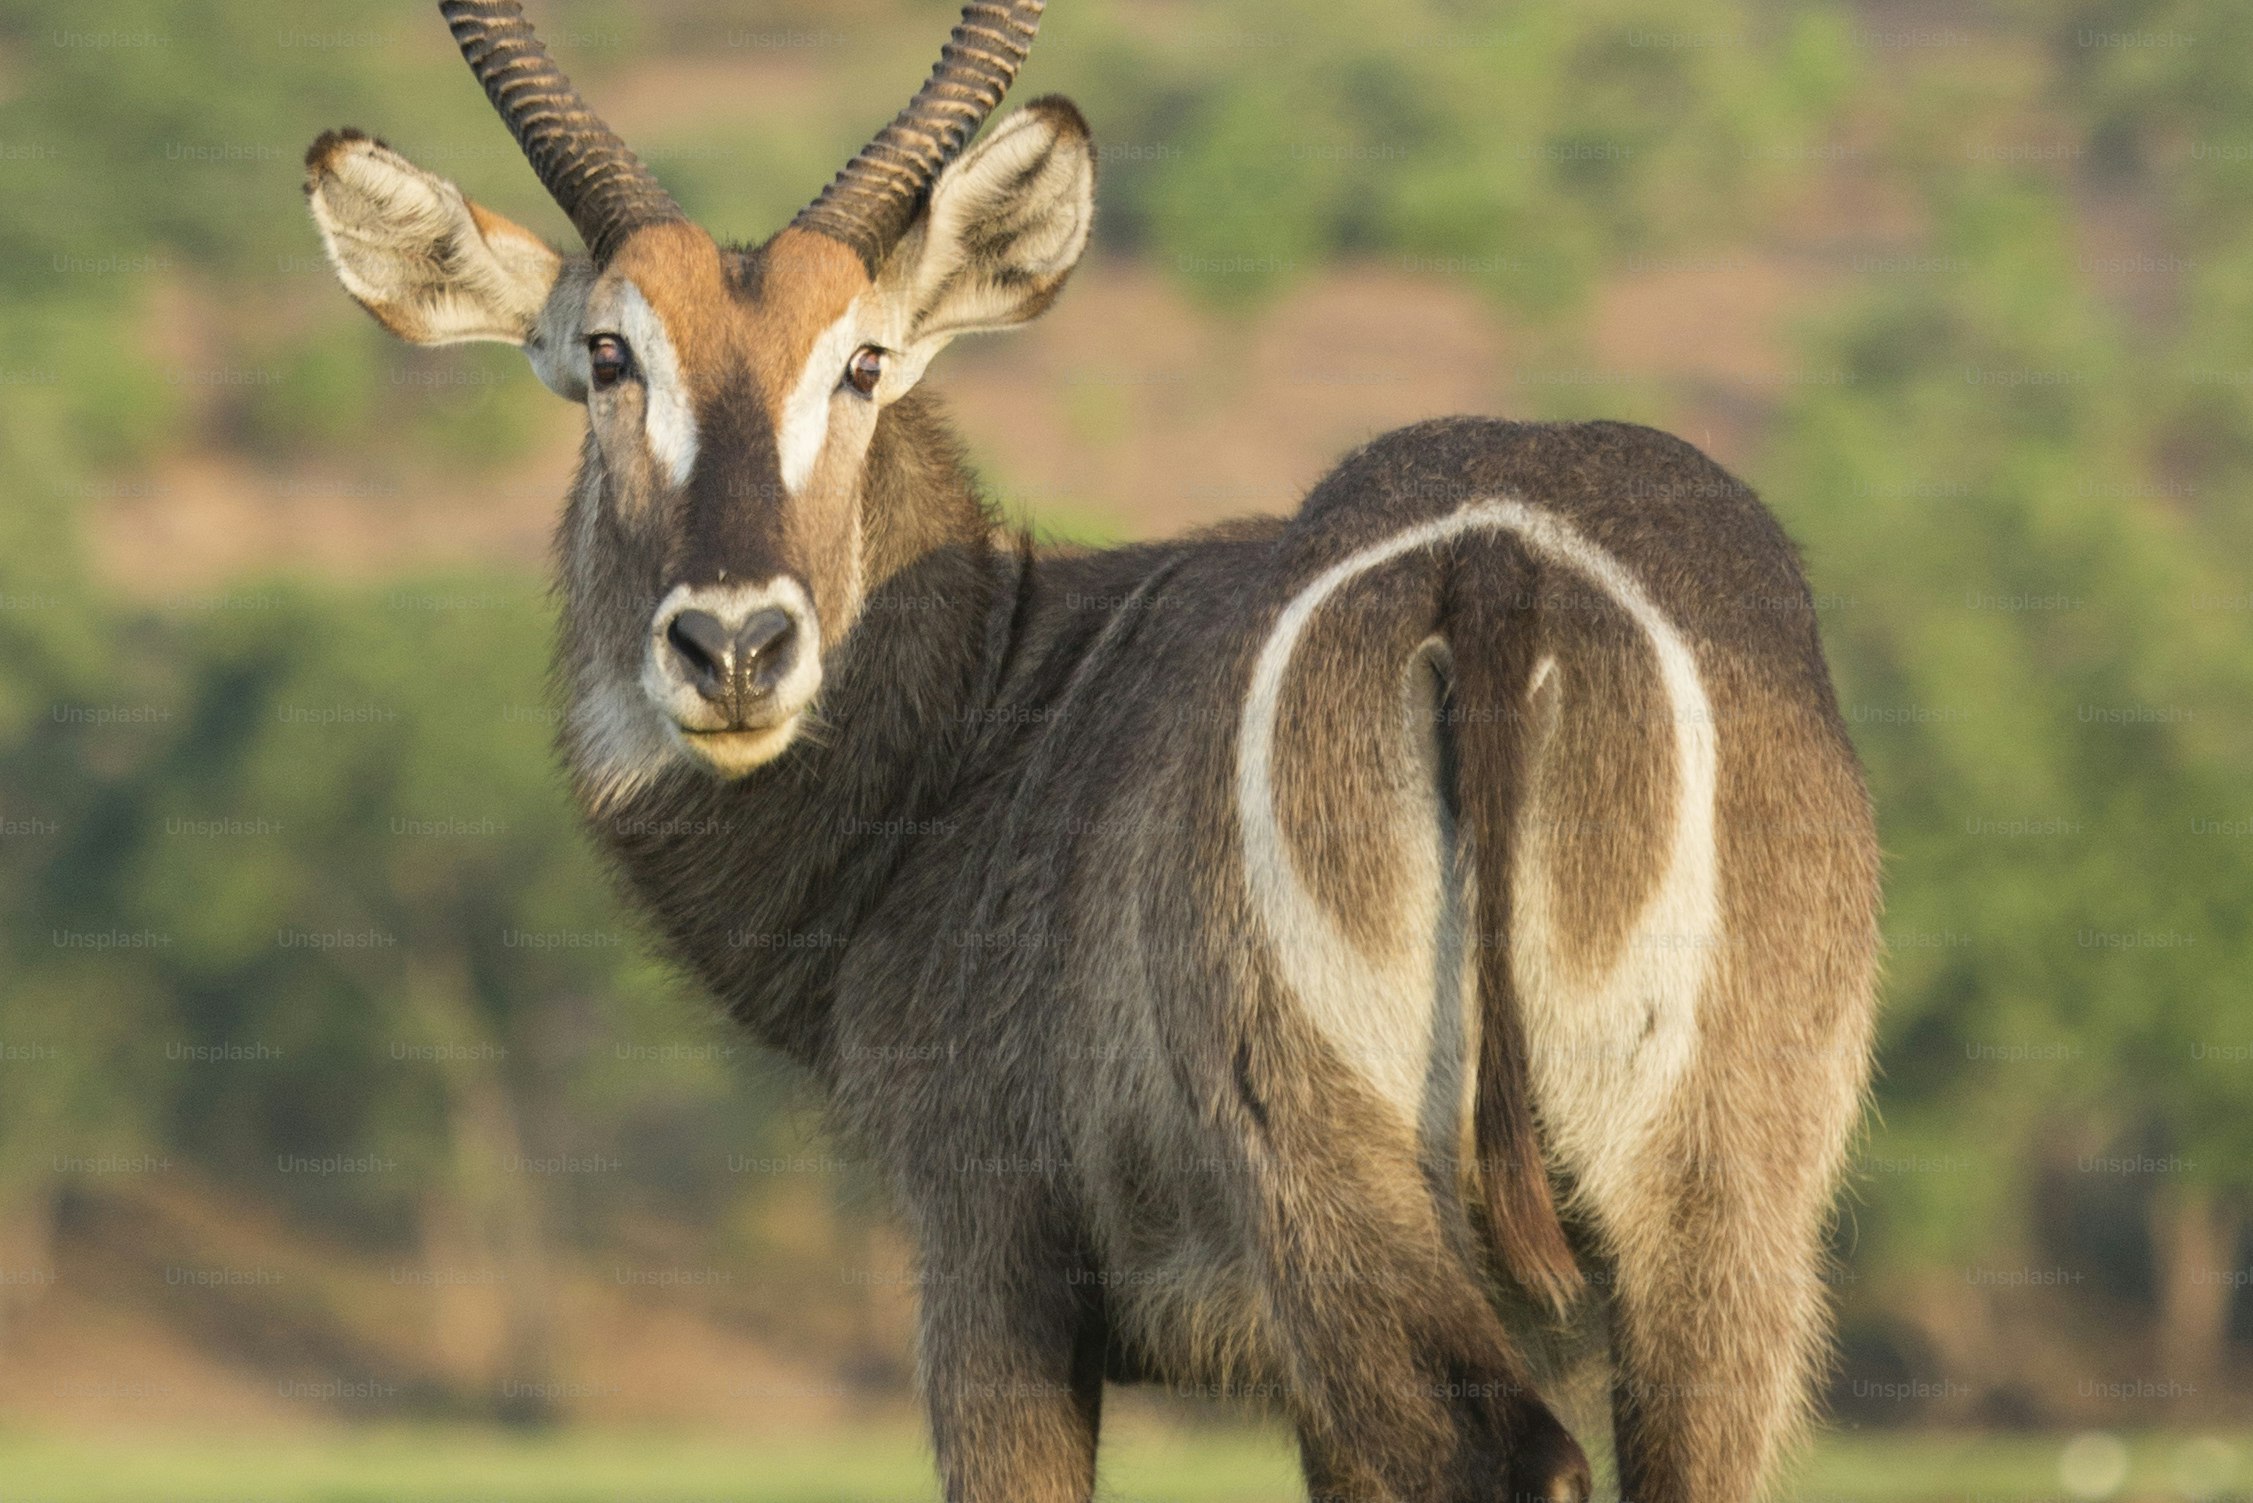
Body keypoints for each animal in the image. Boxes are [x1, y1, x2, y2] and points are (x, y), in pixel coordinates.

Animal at [303, 2, 1879, 1499]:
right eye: (610, 354)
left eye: (861, 359)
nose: (735, 645)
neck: (989, 718)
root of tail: (1496, 561)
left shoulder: (988, 1252)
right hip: (1714, 1239)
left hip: (1334, 1196)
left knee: (1510, 1456)